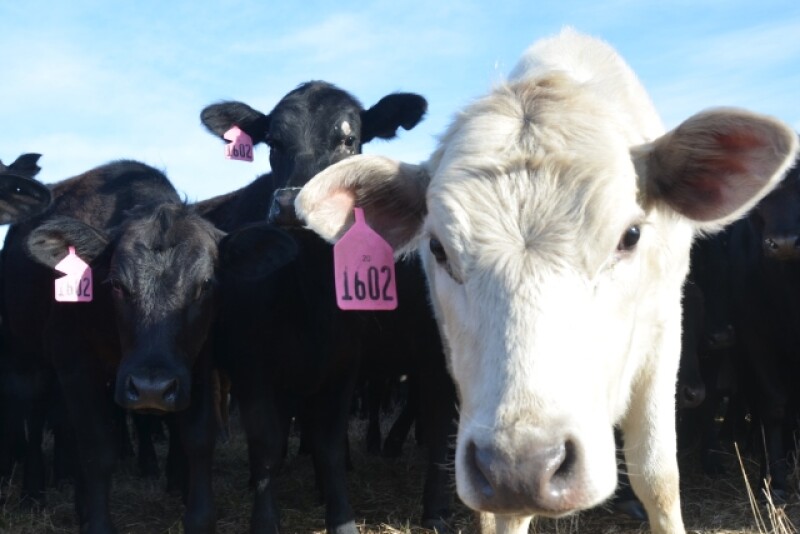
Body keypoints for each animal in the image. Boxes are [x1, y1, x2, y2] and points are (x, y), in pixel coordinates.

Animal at [1, 160, 296, 533]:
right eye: (116, 285)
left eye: (205, 285)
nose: (151, 388)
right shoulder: (74, 361)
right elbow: (97, 446)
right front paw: (97, 523)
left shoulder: (197, 364)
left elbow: (198, 437)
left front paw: (199, 518)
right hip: (29, 356)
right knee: (38, 416)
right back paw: (33, 492)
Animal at [196, 81, 431, 533]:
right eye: (273, 142)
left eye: (348, 140)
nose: (291, 204)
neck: (309, 300)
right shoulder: (253, 365)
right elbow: (266, 444)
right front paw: (264, 520)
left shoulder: (343, 366)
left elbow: (330, 445)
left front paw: (340, 517)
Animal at [295, 28, 799, 534]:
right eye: (437, 248)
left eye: (631, 236)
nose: (522, 467)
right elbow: (505, 511)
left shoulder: (665, 334)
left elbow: (657, 475)